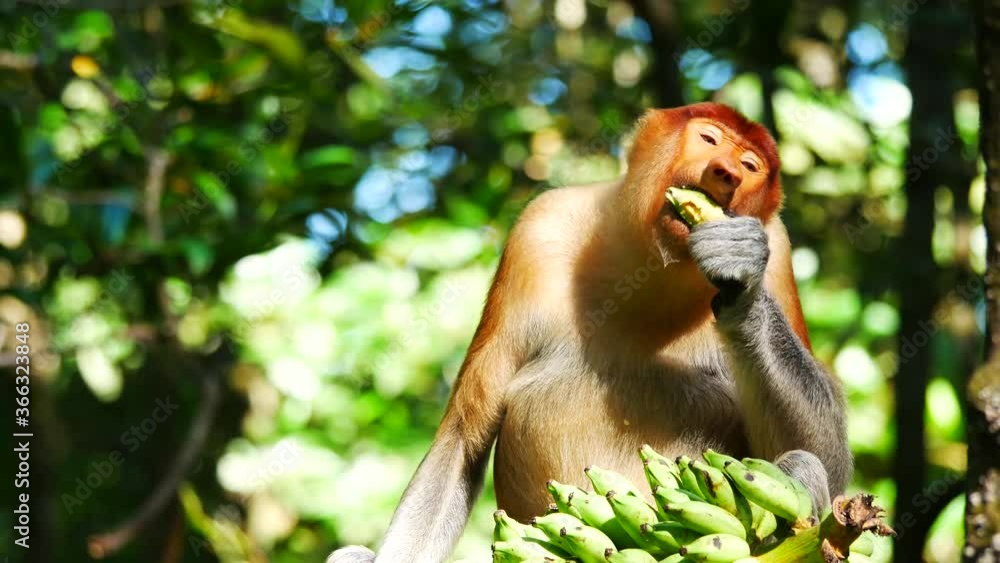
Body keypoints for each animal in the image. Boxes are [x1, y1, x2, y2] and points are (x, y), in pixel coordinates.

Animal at [328, 102, 851, 563]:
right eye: (709, 139)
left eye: (750, 164)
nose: (726, 172)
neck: (650, 271)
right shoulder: (537, 230)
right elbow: (462, 441)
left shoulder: (777, 250)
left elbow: (829, 463)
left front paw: (741, 283)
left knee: (802, 463)